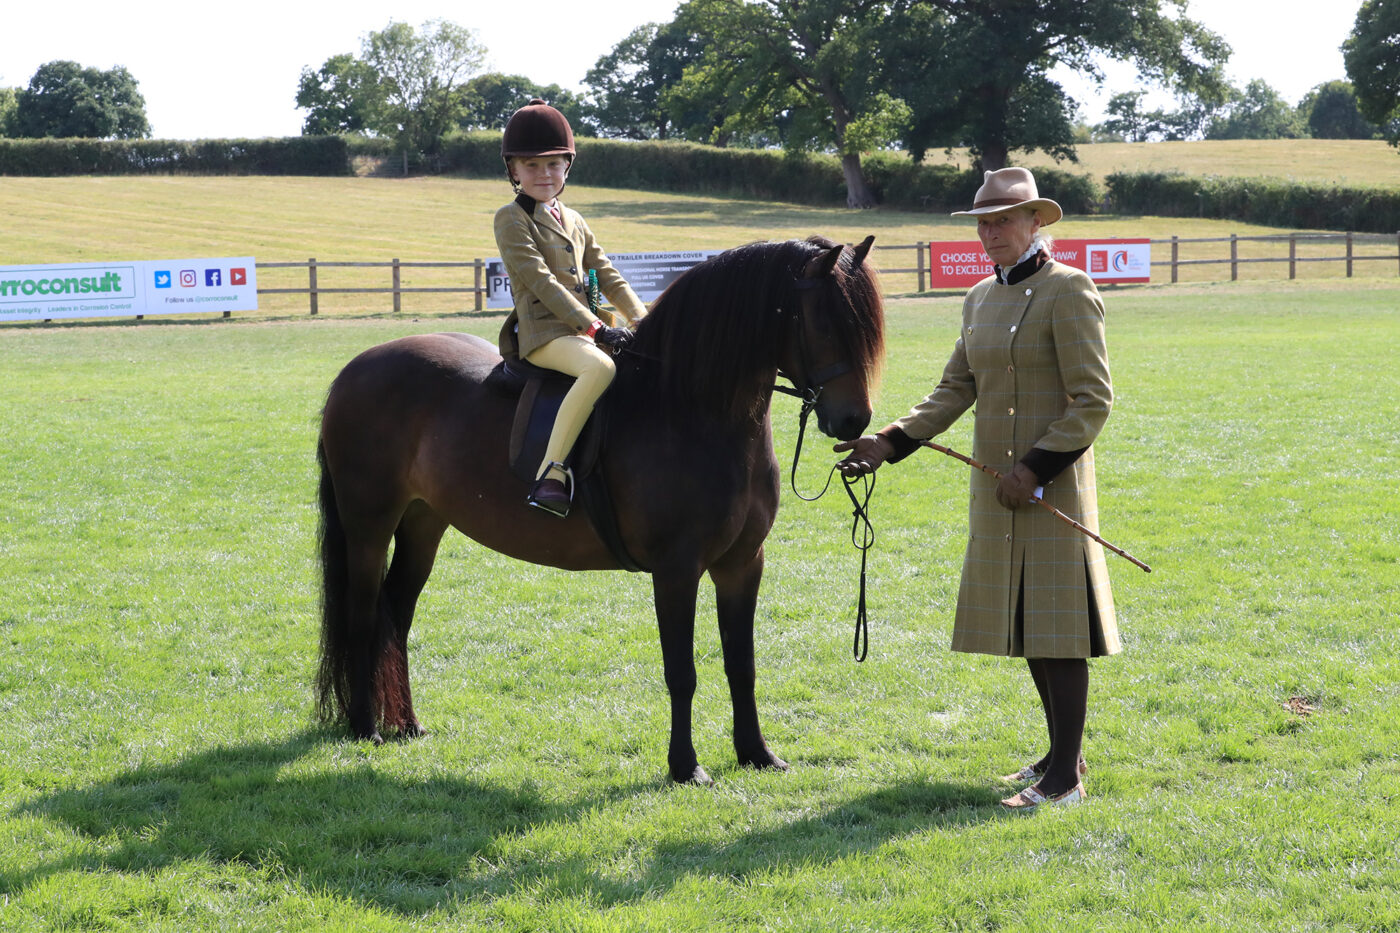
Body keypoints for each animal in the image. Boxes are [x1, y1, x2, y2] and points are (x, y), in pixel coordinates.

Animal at [315, 235, 885, 784]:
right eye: (824, 322)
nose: (854, 421)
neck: (687, 409)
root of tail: (355, 368)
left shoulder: (743, 563)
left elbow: (741, 665)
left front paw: (757, 754)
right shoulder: (676, 570)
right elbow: (681, 671)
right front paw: (686, 767)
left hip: (423, 522)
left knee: (397, 612)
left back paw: (407, 724)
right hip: (368, 526)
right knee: (364, 613)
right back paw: (367, 727)